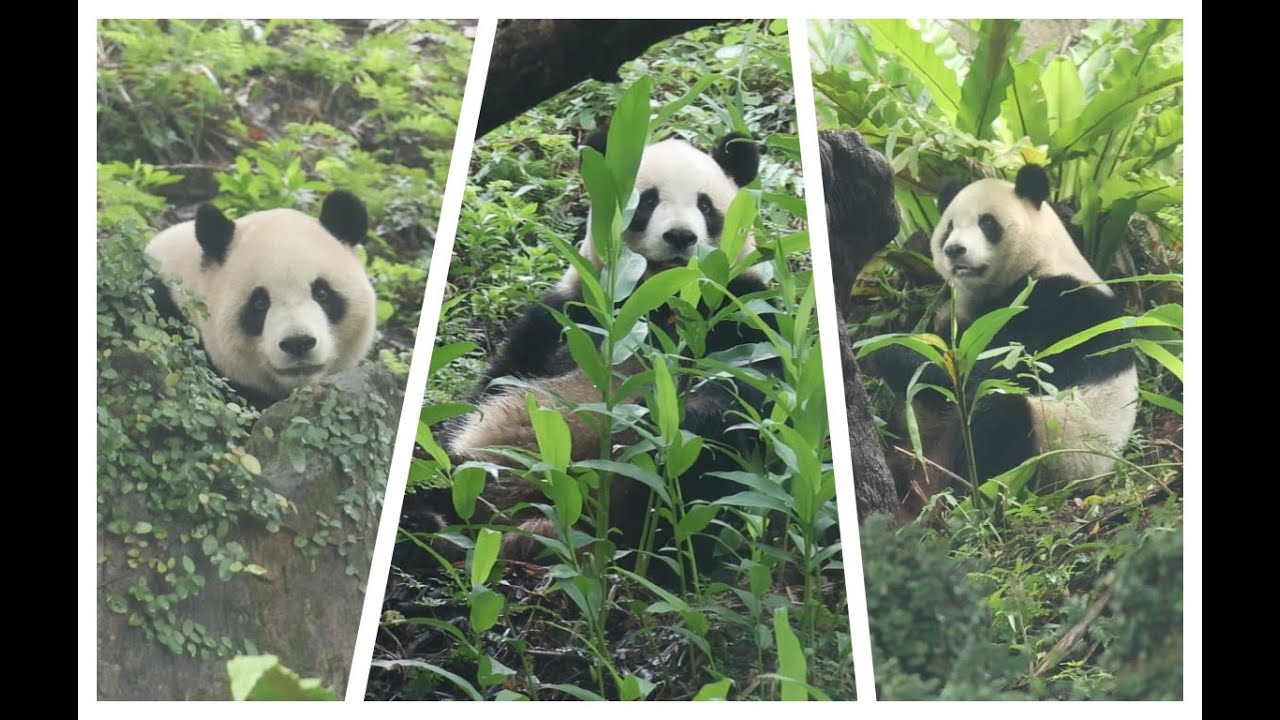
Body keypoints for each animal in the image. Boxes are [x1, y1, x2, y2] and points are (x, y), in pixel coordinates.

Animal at [415, 130, 774, 566]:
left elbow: (753, 385)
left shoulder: (740, 305)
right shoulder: (567, 315)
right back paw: (429, 522)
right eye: (648, 201)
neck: (660, 298)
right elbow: (493, 386)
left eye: (706, 206)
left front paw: (672, 412)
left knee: (699, 478)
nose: (680, 236)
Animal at [866, 165, 1139, 519]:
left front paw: (890, 352)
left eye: (987, 223)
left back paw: (958, 498)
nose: (954, 250)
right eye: (949, 227)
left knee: (999, 419)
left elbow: (1000, 369)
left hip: (1059, 452)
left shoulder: (1062, 307)